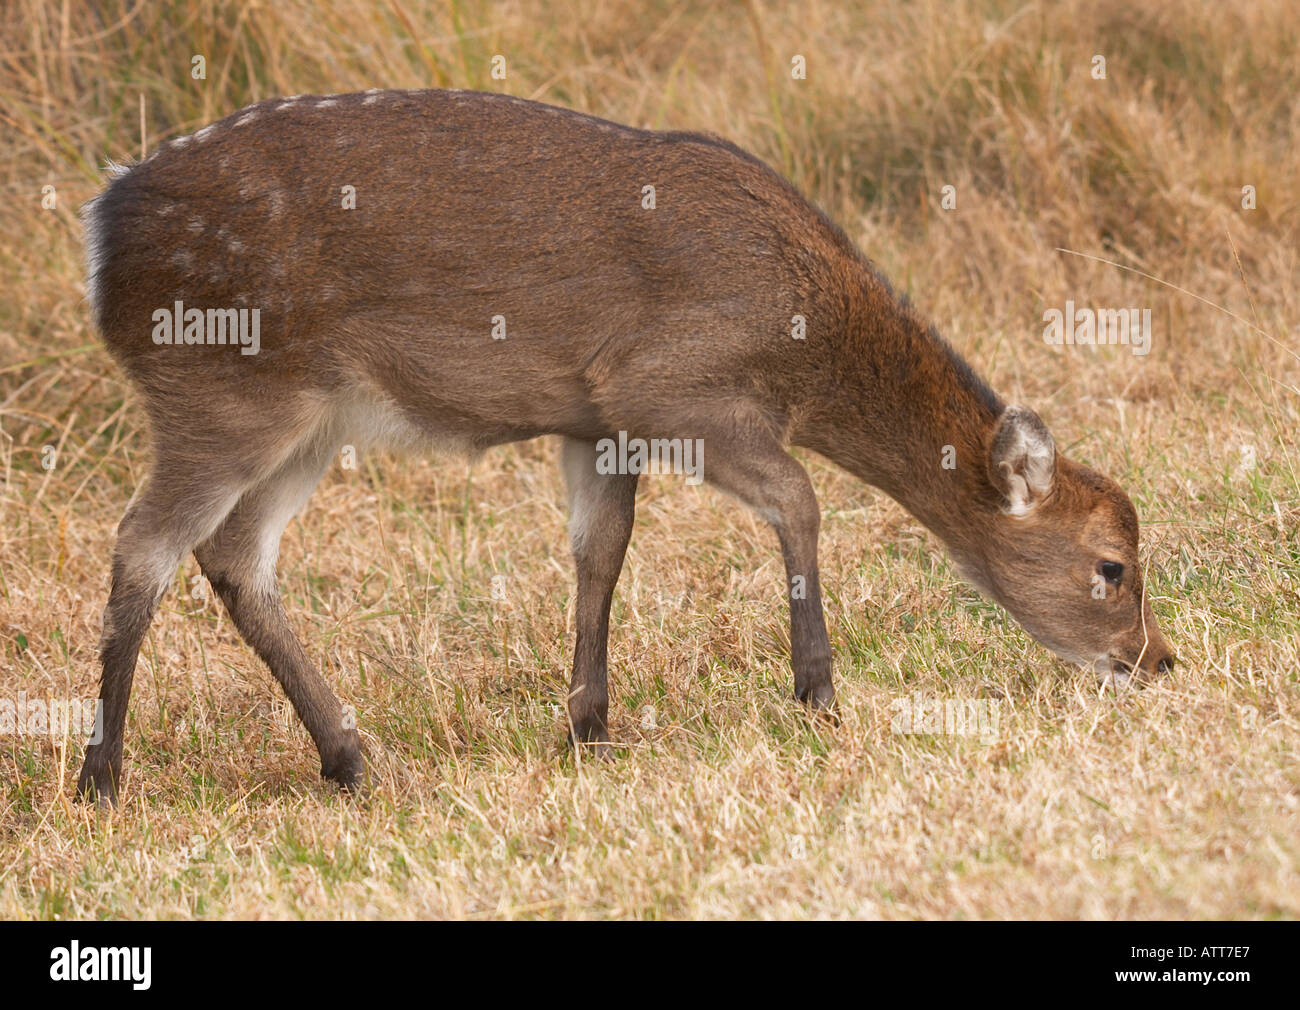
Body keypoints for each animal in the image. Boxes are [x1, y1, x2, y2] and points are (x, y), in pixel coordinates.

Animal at [77, 88, 1174, 804]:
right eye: (1111, 566)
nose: (1157, 660)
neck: (804, 339)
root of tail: (98, 234)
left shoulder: (592, 419)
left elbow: (601, 551)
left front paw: (587, 723)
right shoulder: (664, 386)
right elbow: (800, 497)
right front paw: (818, 692)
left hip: (309, 417)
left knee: (234, 554)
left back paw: (351, 758)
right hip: (224, 384)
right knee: (144, 542)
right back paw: (102, 777)